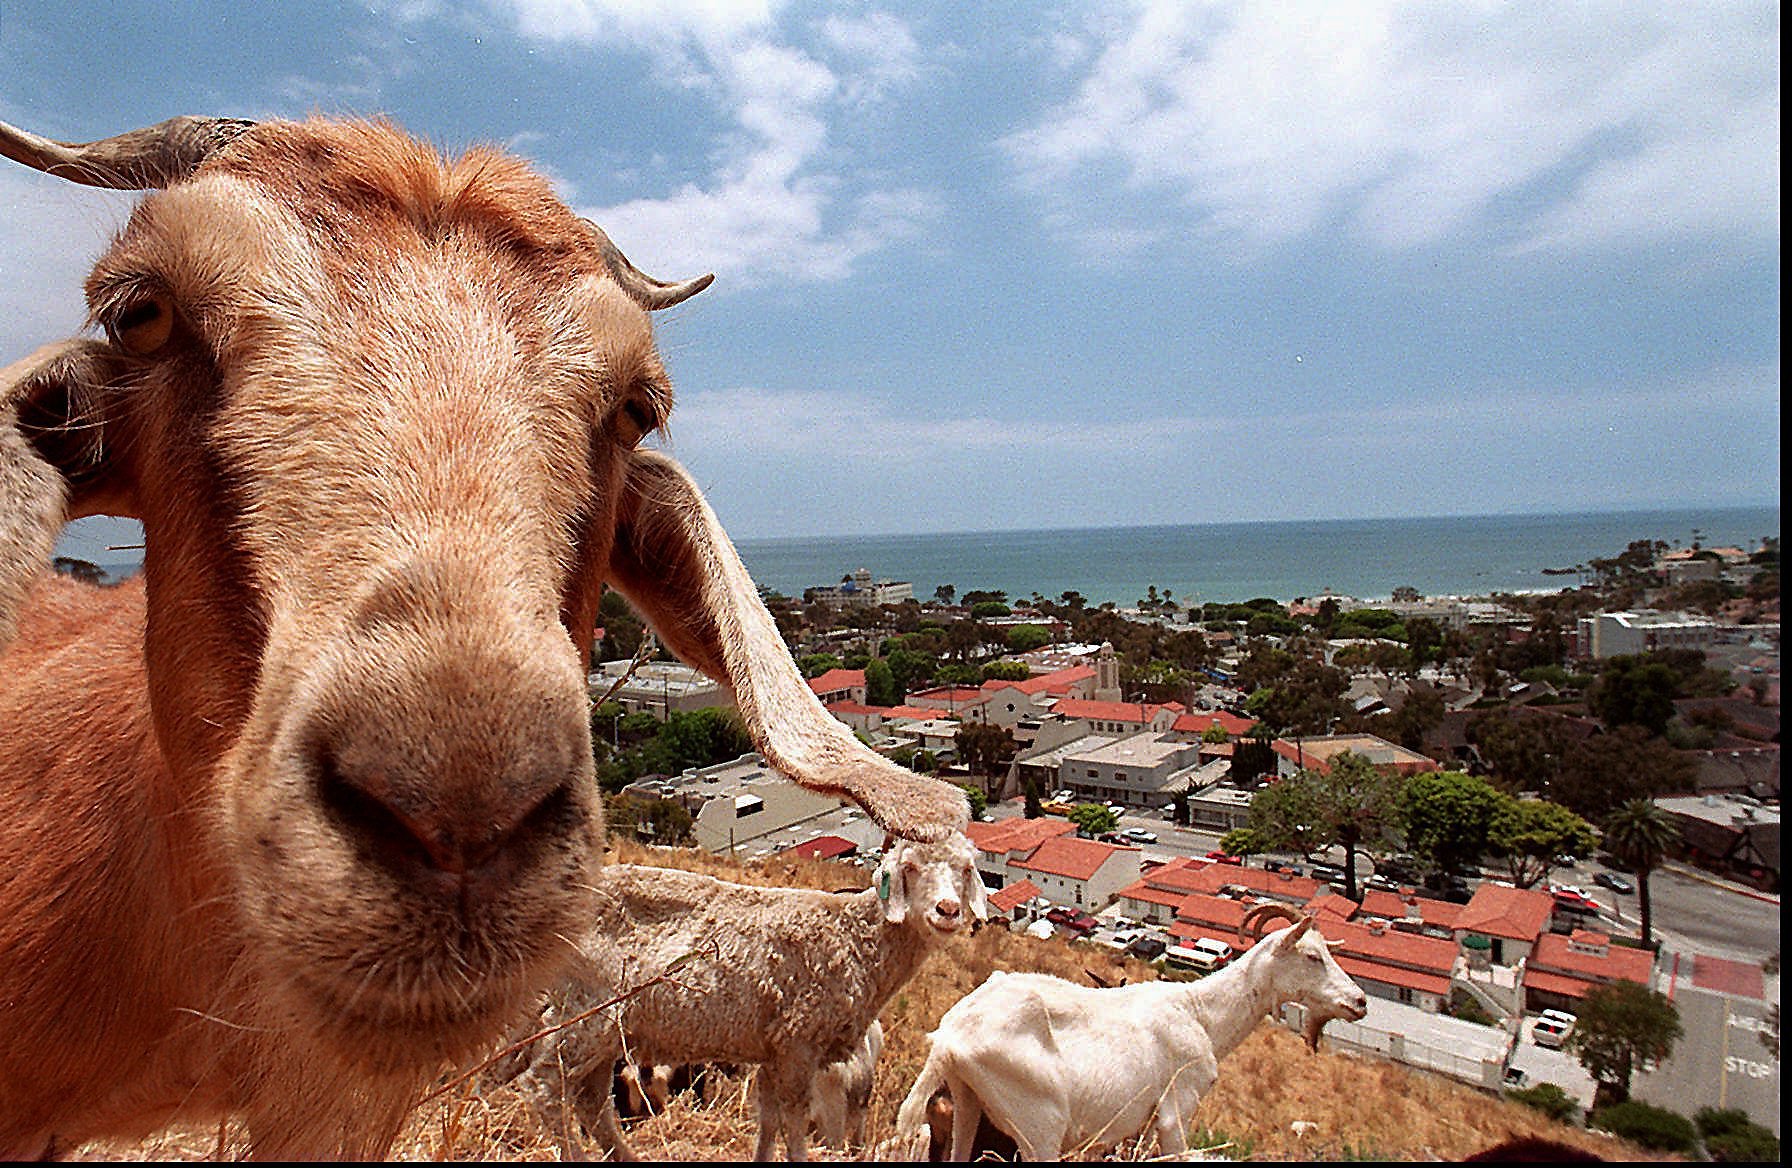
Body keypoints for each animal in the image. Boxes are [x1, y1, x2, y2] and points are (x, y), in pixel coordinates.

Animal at [513, 835, 987, 1161]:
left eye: (966, 869)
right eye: (910, 867)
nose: (948, 911)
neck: (853, 932)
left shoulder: (772, 1049)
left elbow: (768, 1117)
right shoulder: (798, 1043)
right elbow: (793, 1123)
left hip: (608, 1031)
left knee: (590, 1102)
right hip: (584, 1012)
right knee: (545, 1087)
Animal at [896, 904, 1368, 1161]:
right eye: (1312, 956)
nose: (1360, 1001)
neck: (1200, 1012)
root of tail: (949, 1038)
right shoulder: (1178, 1108)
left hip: (967, 1104)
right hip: (1039, 1127)